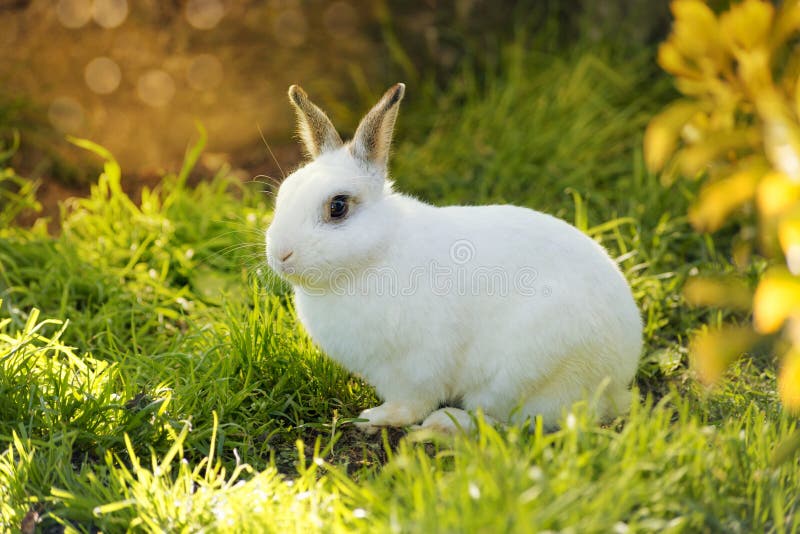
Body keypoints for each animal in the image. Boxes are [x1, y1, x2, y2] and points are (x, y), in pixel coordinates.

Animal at [265, 82, 643, 433]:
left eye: (338, 207)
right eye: (283, 194)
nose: (281, 254)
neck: (376, 253)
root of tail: (617, 379)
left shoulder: (413, 367)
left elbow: (411, 405)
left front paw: (374, 418)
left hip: (525, 373)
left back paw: (446, 423)